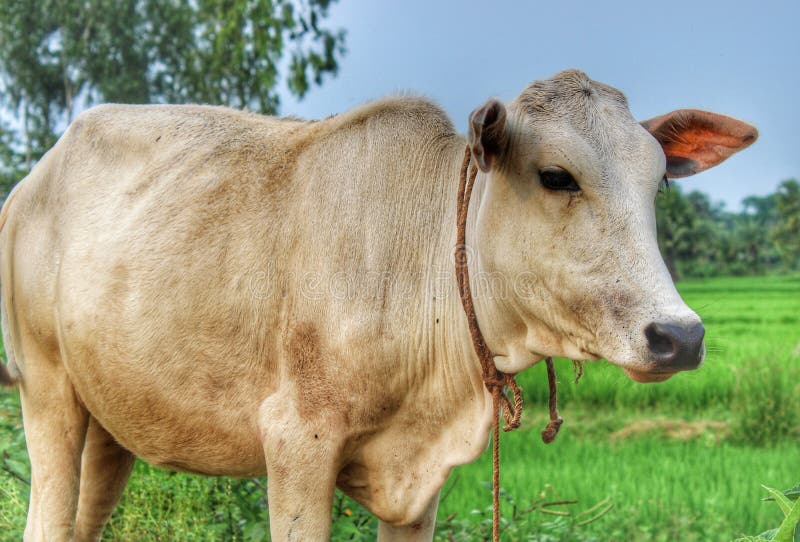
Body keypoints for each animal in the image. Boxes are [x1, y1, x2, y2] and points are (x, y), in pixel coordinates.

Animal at [0, 69, 756, 541]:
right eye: (555, 176)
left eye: (659, 183)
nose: (679, 336)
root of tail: (32, 181)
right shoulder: (295, 443)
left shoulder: (417, 484)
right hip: (48, 391)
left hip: (111, 422)